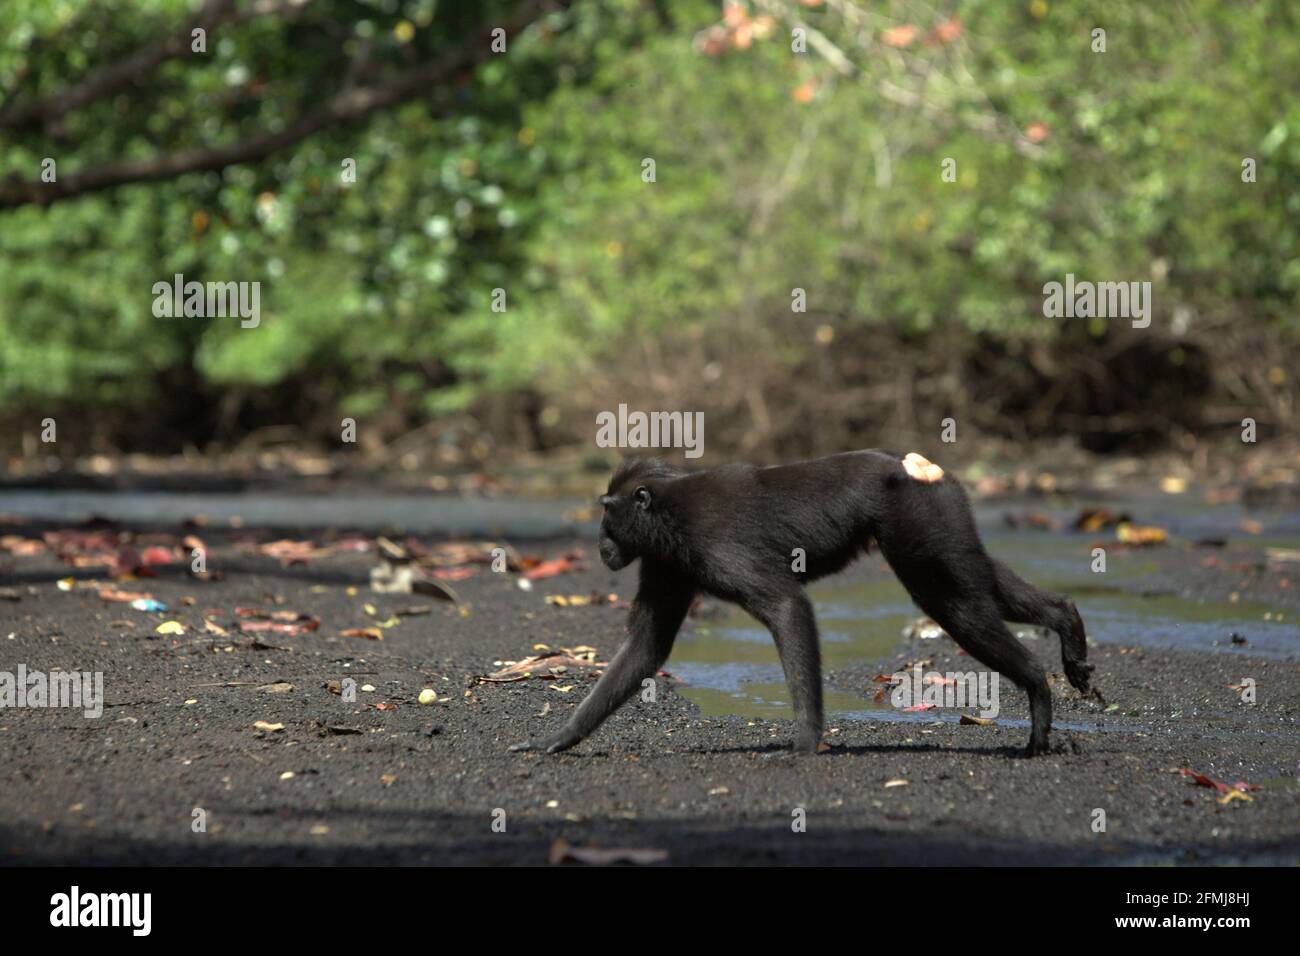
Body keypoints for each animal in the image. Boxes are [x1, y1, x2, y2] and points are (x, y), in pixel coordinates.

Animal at [509, 450, 1099, 758]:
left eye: (606, 515)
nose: (600, 544)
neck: (669, 508)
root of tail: (912, 466)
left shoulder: (713, 548)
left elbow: (788, 607)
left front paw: (806, 741)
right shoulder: (666, 560)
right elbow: (647, 647)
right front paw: (560, 738)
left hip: (916, 514)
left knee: (951, 599)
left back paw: (1038, 692)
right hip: (944, 510)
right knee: (975, 580)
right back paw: (1066, 626)